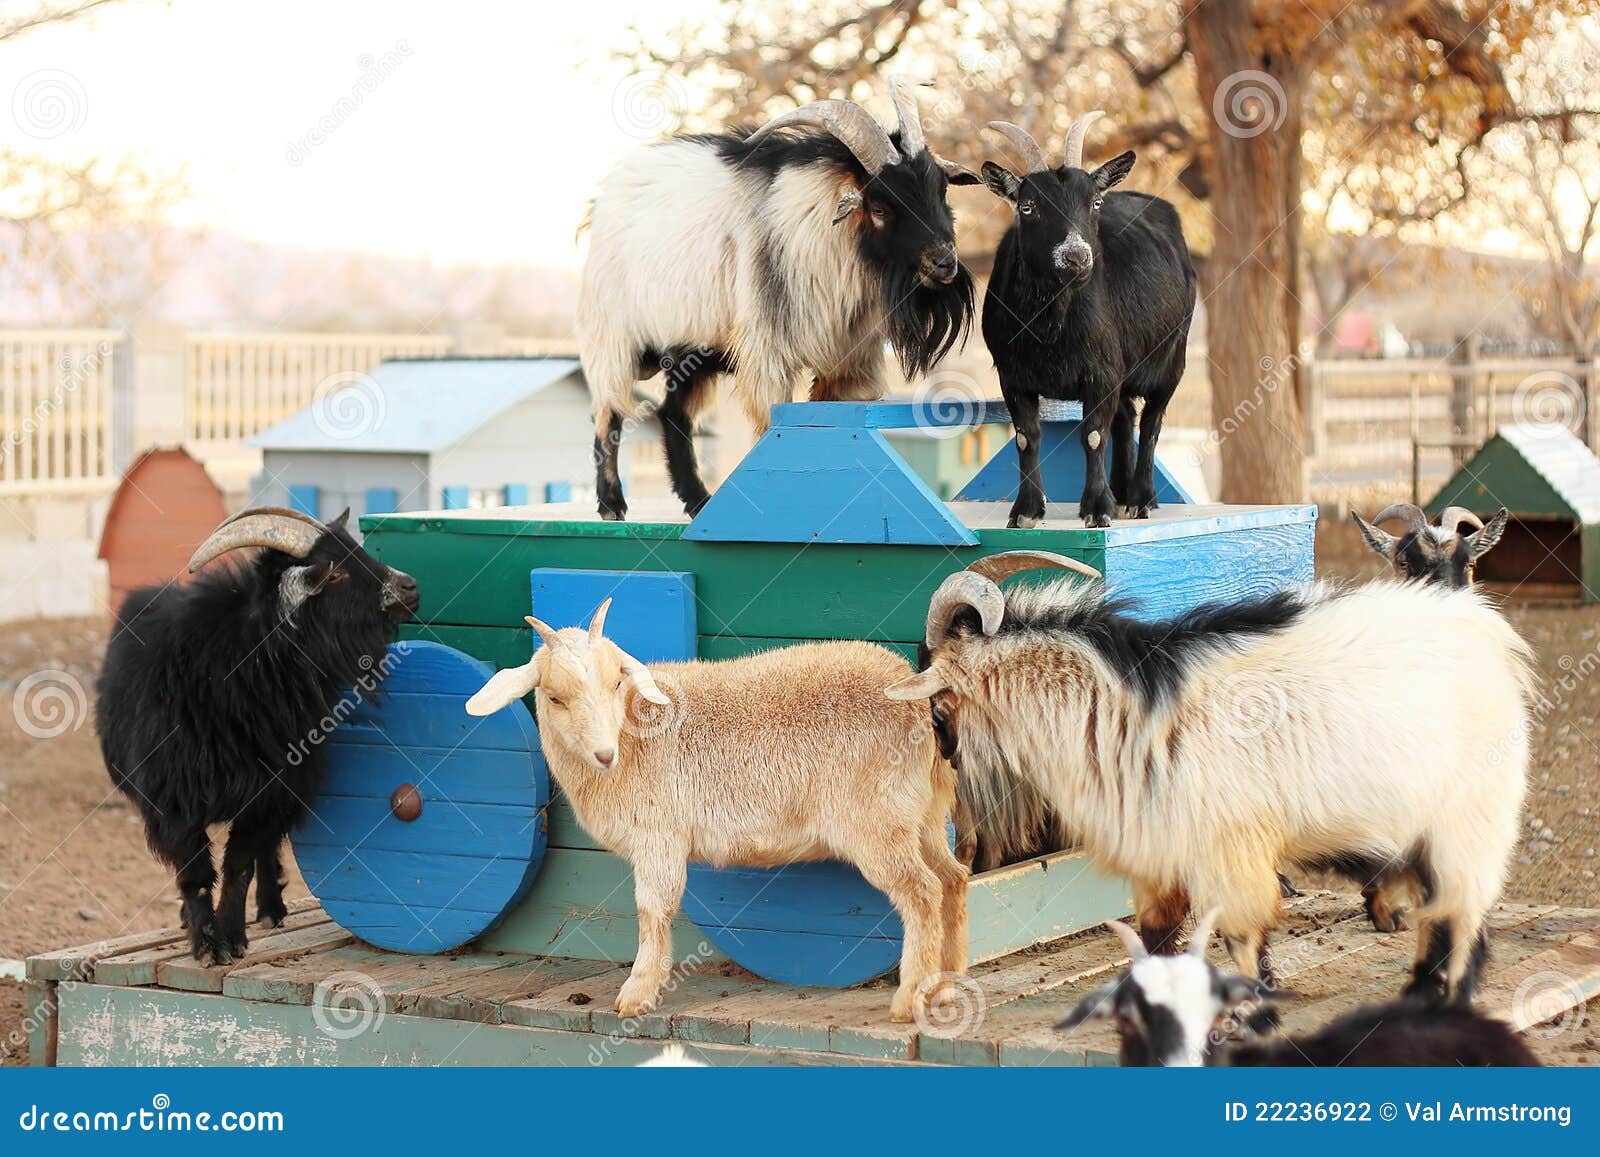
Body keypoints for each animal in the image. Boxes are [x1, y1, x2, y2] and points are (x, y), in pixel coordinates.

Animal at [96, 508, 419, 963]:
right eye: (335, 572)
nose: (410, 587)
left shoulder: (268, 791)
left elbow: (240, 865)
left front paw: (231, 936)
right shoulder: (174, 803)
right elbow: (195, 875)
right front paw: (207, 944)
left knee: (268, 850)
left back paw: (271, 909)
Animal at [466, 601, 967, 1022]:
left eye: (615, 682)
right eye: (554, 697)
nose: (604, 754)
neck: (633, 735)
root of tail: (919, 704)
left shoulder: (659, 836)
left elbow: (653, 909)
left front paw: (636, 995)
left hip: (876, 821)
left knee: (922, 891)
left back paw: (909, 999)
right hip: (923, 817)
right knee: (953, 878)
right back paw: (946, 987)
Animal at [578, 77, 979, 520]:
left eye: (941, 191)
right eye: (880, 206)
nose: (944, 263)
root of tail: (605, 200)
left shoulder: (848, 360)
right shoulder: (768, 354)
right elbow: (771, 429)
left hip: (694, 351)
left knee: (673, 413)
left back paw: (697, 500)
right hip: (613, 339)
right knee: (607, 411)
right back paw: (612, 504)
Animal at [887, 552, 1534, 1006]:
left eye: (937, 705)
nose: (943, 754)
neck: (1124, 709)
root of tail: (1487, 632)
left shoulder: (1231, 849)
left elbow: (1243, 937)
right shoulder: (1159, 852)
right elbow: (1157, 937)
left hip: (1470, 819)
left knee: (1462, 915)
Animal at [977, 115, 1195, 528]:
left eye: (1094, 202)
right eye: (1027, 206)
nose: (1076, 257)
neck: (1050, 327)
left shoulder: (1102, 372)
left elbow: (1094, 436)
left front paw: (1096, 509)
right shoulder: (1012, 376)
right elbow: (1026, 437)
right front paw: (1027, 511)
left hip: (1173, 360)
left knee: (1152, 424)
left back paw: (1140, 499)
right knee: (1126, 421)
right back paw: (1121, 493)